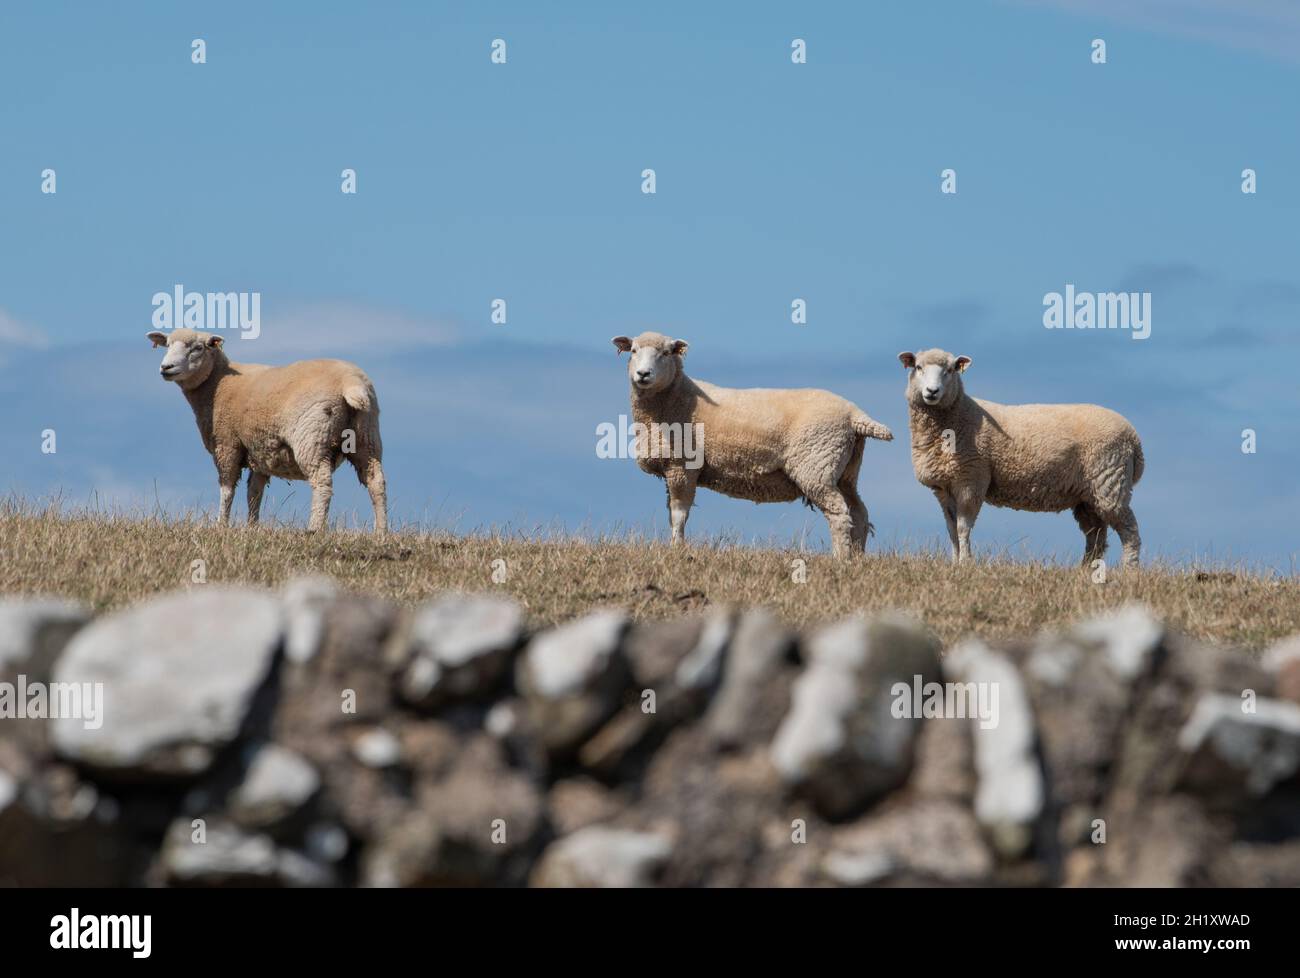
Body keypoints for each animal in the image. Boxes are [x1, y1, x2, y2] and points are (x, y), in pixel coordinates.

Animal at [147, 328, 387, 533]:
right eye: (167, 345)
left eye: (198, 347)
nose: (166, 367)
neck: (217, 384)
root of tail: (350, 381)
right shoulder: (259, 450)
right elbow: (254, 492)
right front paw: (252, 527)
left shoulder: (227, 443)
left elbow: (227, 488)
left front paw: (221, 525)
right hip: (367, 435)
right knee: (376, 480)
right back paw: (381, 532)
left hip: (312, 436)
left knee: (322, 482)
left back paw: (315, 529)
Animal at [611, 332, 893, 557]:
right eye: (633, 350)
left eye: (666, 353)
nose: (643, 374)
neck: (678, 397)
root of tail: (854, 414)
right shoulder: (673, 467)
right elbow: (671, 514)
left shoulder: (683, 466)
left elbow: (680, 514)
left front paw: (677, 549)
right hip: (846, 470)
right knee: (859, 513)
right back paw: (857, 558)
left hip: (816, 465)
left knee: (839, 513)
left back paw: (840, 558)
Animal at [897, 348, 1144, 566]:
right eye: (918, 367)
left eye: (949, 370)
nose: (932, 391)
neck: (959, 415)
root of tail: (1134, 437)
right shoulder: (944, 487)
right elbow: (951, 529)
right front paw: (955, 562)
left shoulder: (971, 480)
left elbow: (963, 527)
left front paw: (966, 563)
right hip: (1088, 495)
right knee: (1096, 534)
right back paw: (1087, 568)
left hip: (1110, 481)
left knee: (1129, 531)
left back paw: (1129, 569)